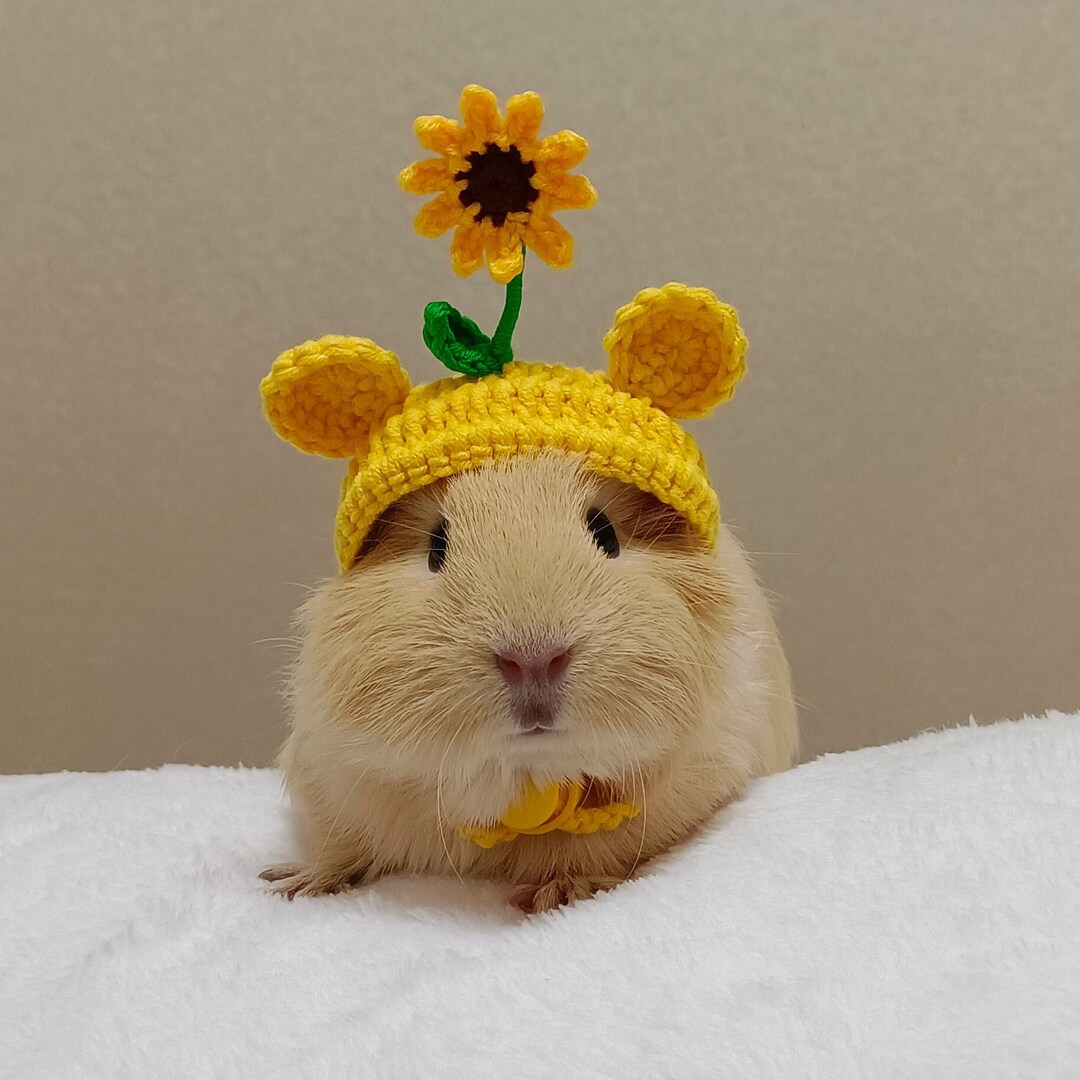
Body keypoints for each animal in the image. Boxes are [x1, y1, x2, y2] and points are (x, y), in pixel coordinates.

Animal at [261, 453, 797, 913]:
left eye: (606, 532)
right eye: (437, 545)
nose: (534, 660)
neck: (523, 779)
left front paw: (555, 894)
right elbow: (341, 850)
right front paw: (290, 884)